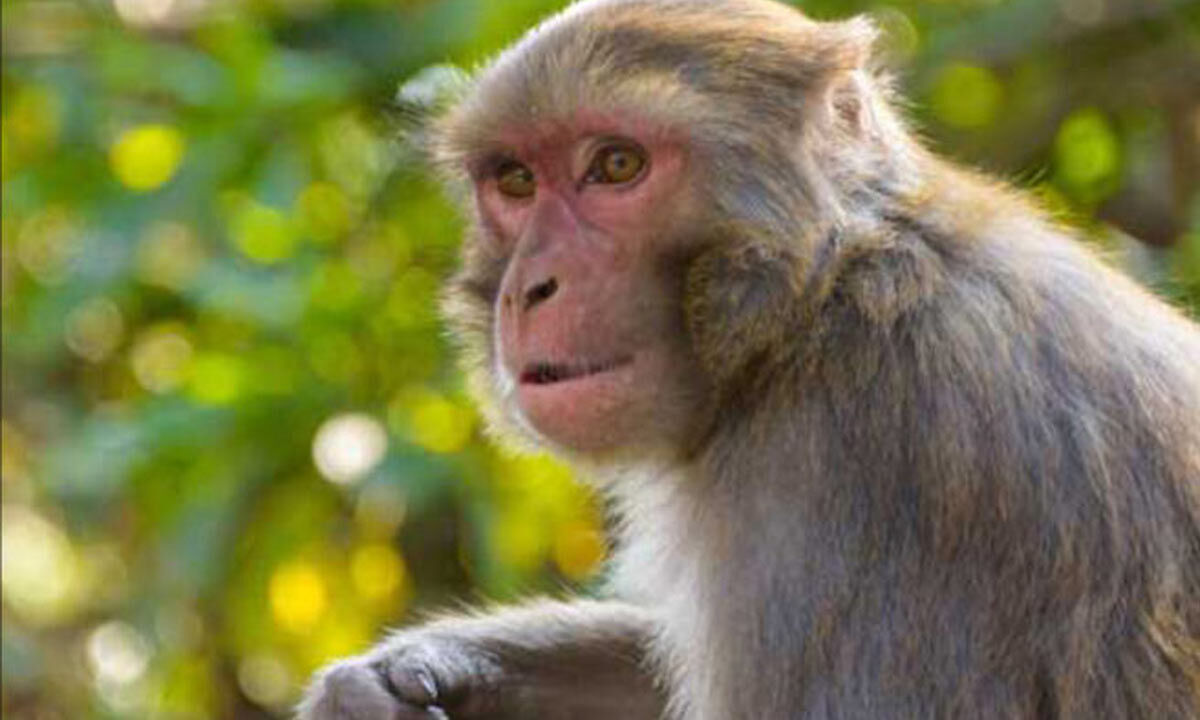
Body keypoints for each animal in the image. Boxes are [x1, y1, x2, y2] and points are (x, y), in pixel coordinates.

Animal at [298, 0, 1200, 718]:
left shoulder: (878, 465)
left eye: (616, 165)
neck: (818, 310)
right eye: (516, 181)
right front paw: (394, 677)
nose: (530, 288)